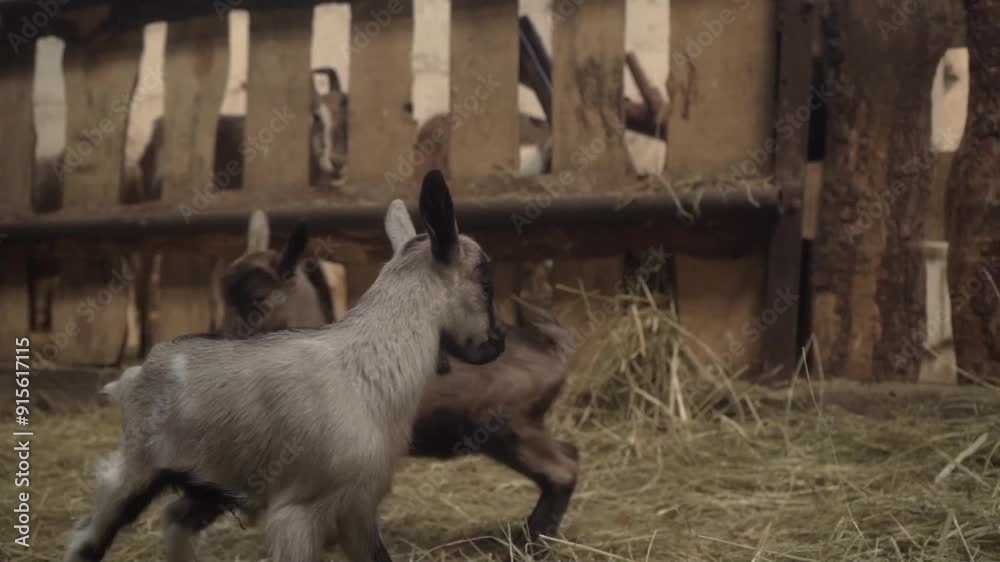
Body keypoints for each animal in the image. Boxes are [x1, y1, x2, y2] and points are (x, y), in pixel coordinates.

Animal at [66, 170, 506, 562]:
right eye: (486, 283)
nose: (497, 342)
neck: (367, 367)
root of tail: (134, 376)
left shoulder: (358, 509)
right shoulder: (298, 514)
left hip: (208, 481)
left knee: (174, 520)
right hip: (135, 468)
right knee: (86, 539)